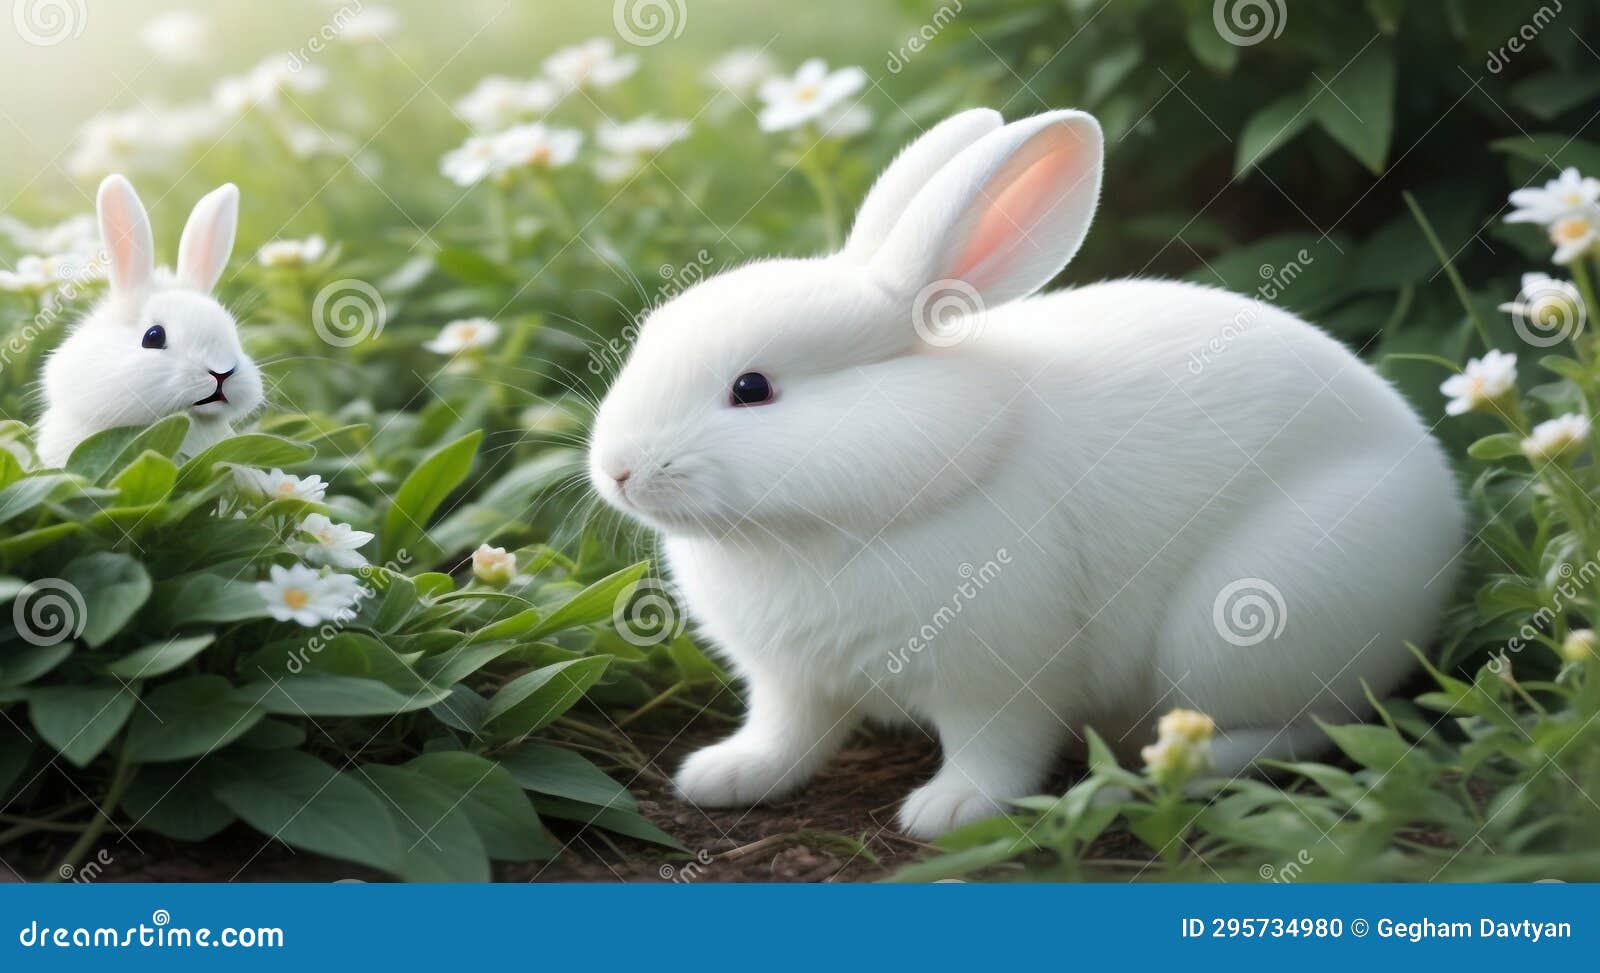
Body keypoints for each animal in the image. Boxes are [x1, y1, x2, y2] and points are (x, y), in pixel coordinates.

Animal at [587, 108, 1467, 838]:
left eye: (752, 388)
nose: (618, 470)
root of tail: (1443, 521)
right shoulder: (791, 678)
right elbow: (787, 734)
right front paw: (724, 775)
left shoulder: (999, 676)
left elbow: (996, 748)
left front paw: (949, 810)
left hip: (1242, 627)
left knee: (1308, 723)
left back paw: (1160, 767)